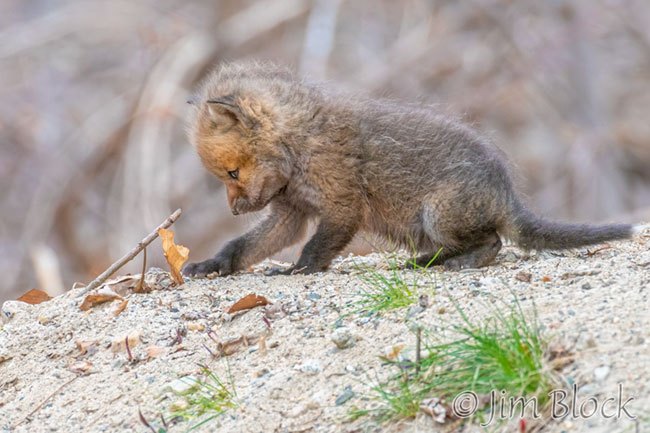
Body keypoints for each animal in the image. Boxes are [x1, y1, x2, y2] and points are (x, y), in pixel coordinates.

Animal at [182, 61, 645, 277]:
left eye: (231, 174)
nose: (233, 210)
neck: (299, 148)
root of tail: (507, 194)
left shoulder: (342, 203)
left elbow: (317, 247)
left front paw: (299, 269)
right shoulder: (290, 213)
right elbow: (243, 247)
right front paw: (212, 265)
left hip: (437, 214)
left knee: (494, 242)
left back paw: (455, 263)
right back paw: (426, 262)